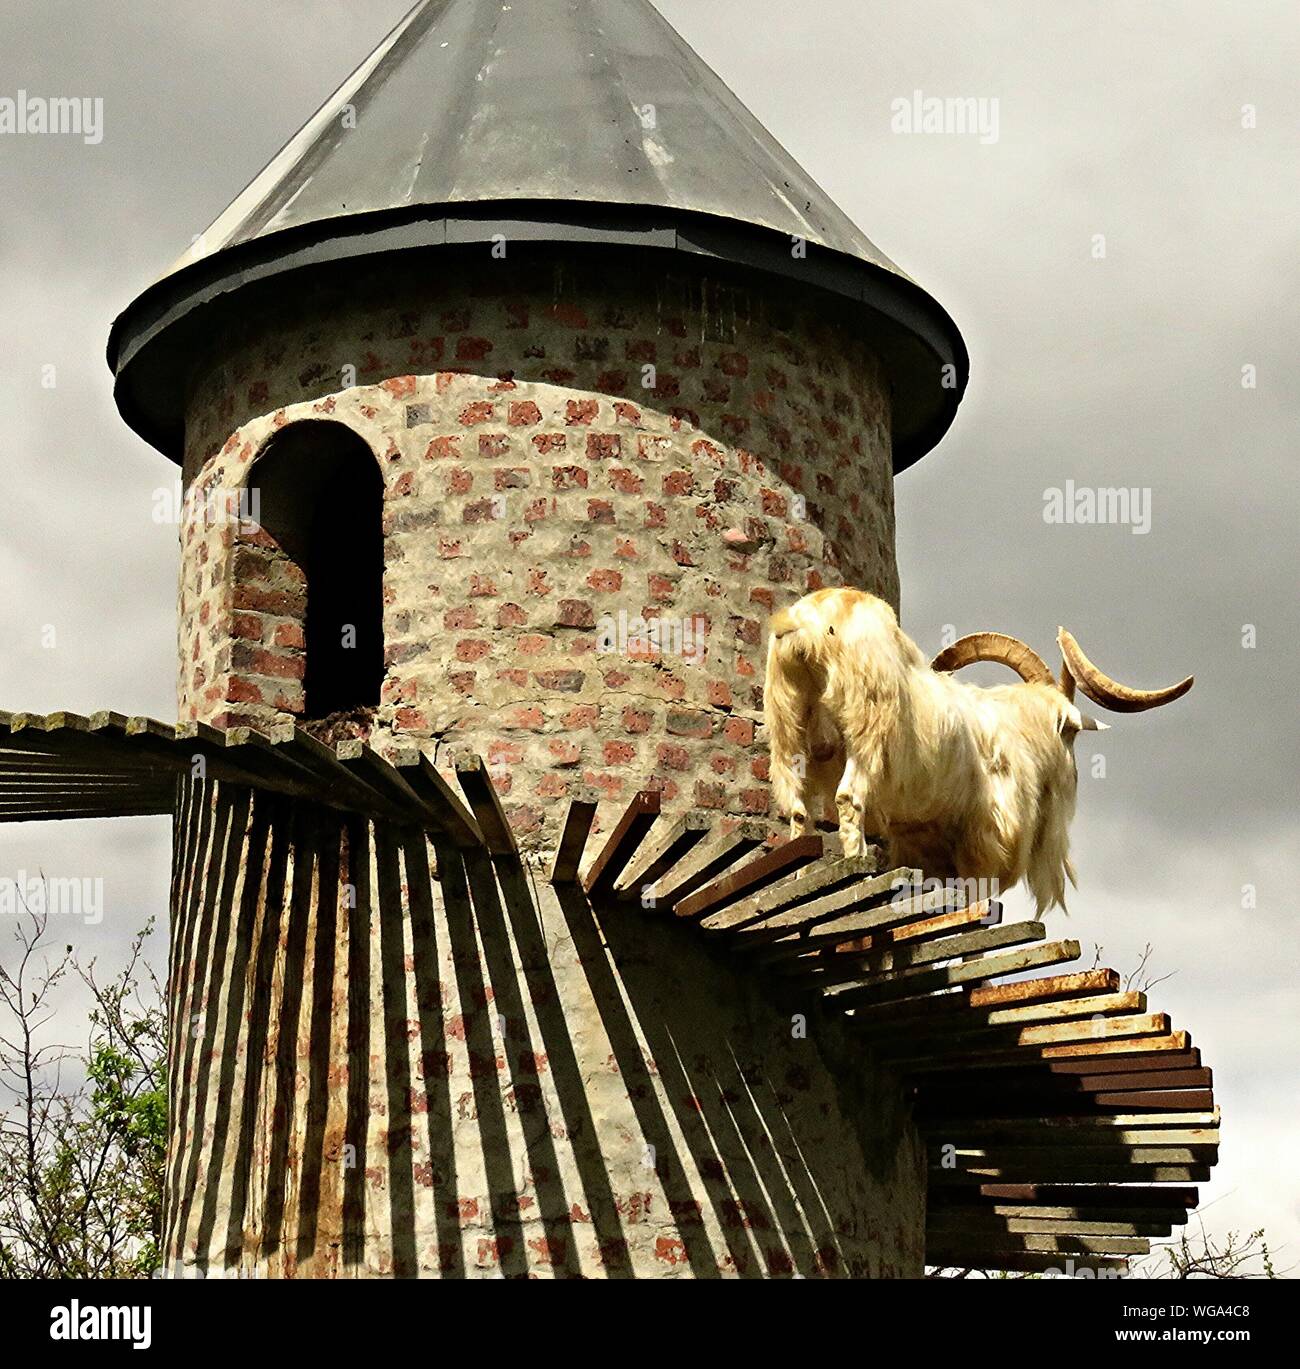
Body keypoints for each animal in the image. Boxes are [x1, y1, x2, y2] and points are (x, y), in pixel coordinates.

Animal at [763, 588, 1193, 912]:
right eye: (1071, 733)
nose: (1072, 775)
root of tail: (806, 625)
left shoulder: (926, 849)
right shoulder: (984, 845)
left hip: (788, 736)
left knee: (799, 815)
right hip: (866, 731)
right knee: (848, 798)